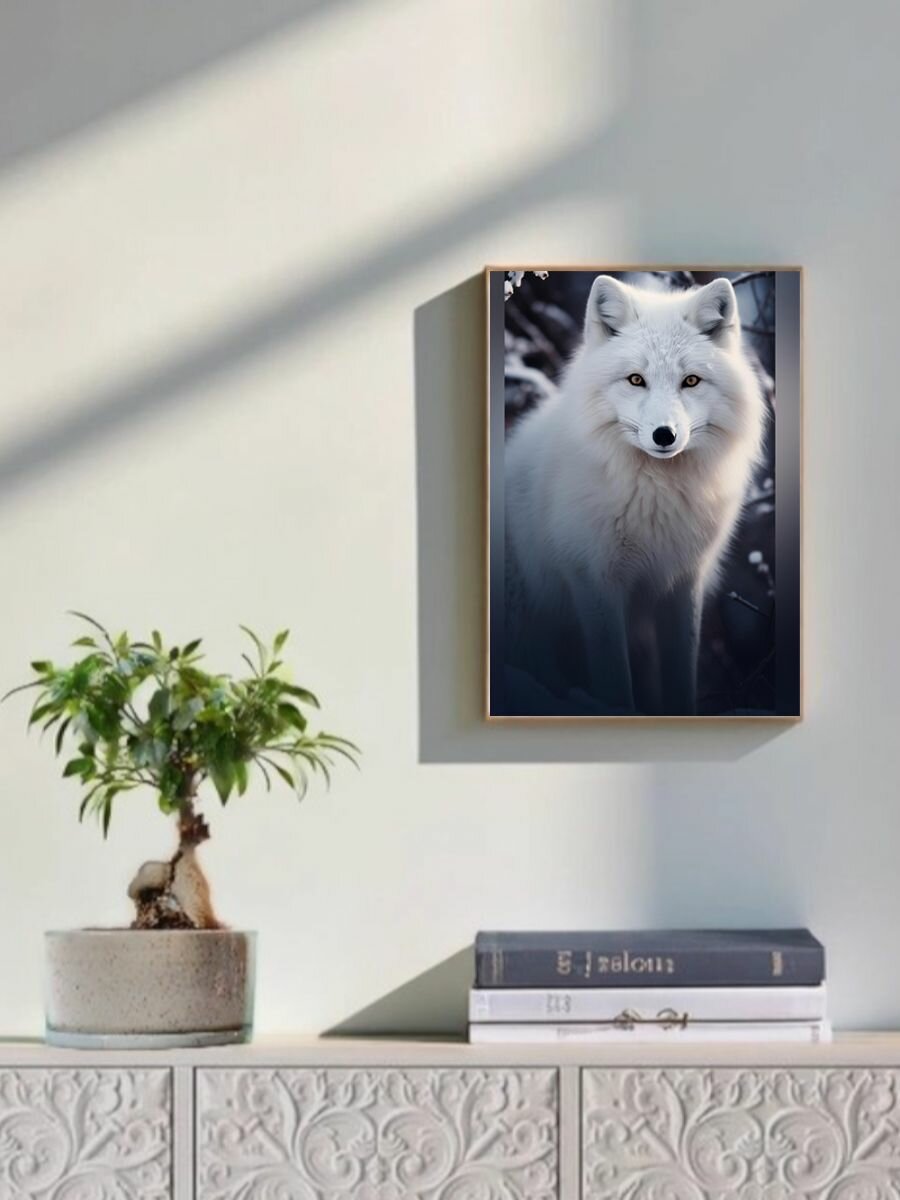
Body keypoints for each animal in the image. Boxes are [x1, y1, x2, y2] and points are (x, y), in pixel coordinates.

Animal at [503, 274, 767, 715]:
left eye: (690, 381)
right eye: (635, 379)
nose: (664, 435)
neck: (655, 496)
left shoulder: (683, 582)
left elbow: (681, 679)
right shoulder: (595, 581)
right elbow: (615, 683)